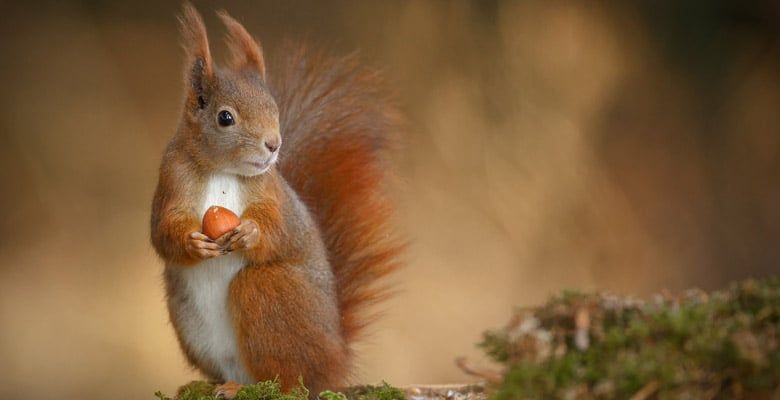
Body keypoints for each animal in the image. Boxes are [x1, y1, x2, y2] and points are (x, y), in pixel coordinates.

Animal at [150, 4, 402, 398]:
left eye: (274, 108)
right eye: (225, 117)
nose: (273, 144)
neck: (222, 170)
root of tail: (335, 361)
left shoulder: (272, 193)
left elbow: (278, 227)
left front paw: (251, 233)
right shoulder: (171, 180)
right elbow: (162, 231)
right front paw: (192, 242)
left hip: (270, 292)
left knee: (287, 375)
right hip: (189, 320)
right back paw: (223, 384)